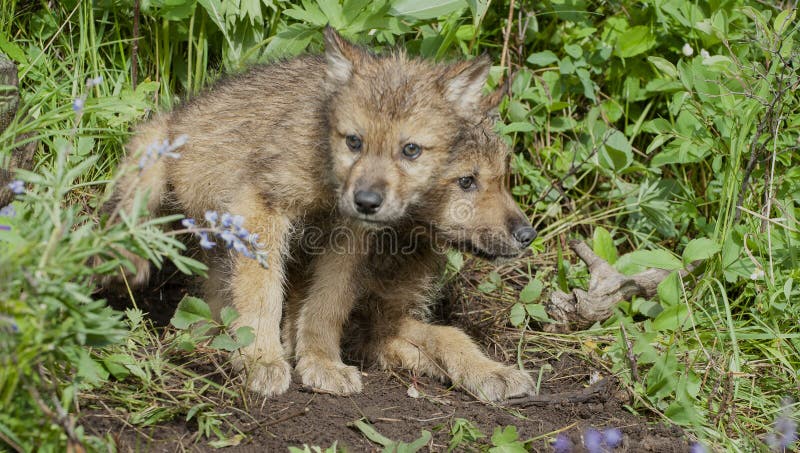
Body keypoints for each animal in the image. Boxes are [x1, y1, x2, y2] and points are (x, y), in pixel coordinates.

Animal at [105, 27, 496, 396]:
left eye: (411, 150)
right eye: (354, 142)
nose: (366, 201)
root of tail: (179, 113)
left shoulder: (348, 240)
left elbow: (328, 304)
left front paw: (321, 362)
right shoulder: (260, 207)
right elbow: (263, 294)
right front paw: (261, 360)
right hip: (160, 165)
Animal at [283, 111, 539, 401]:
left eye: (503, 176)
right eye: (466, 181)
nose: (528, 235)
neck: (390, 244)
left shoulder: (385, 321)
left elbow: (449, 335)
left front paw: (491, 372)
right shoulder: (360, 329)